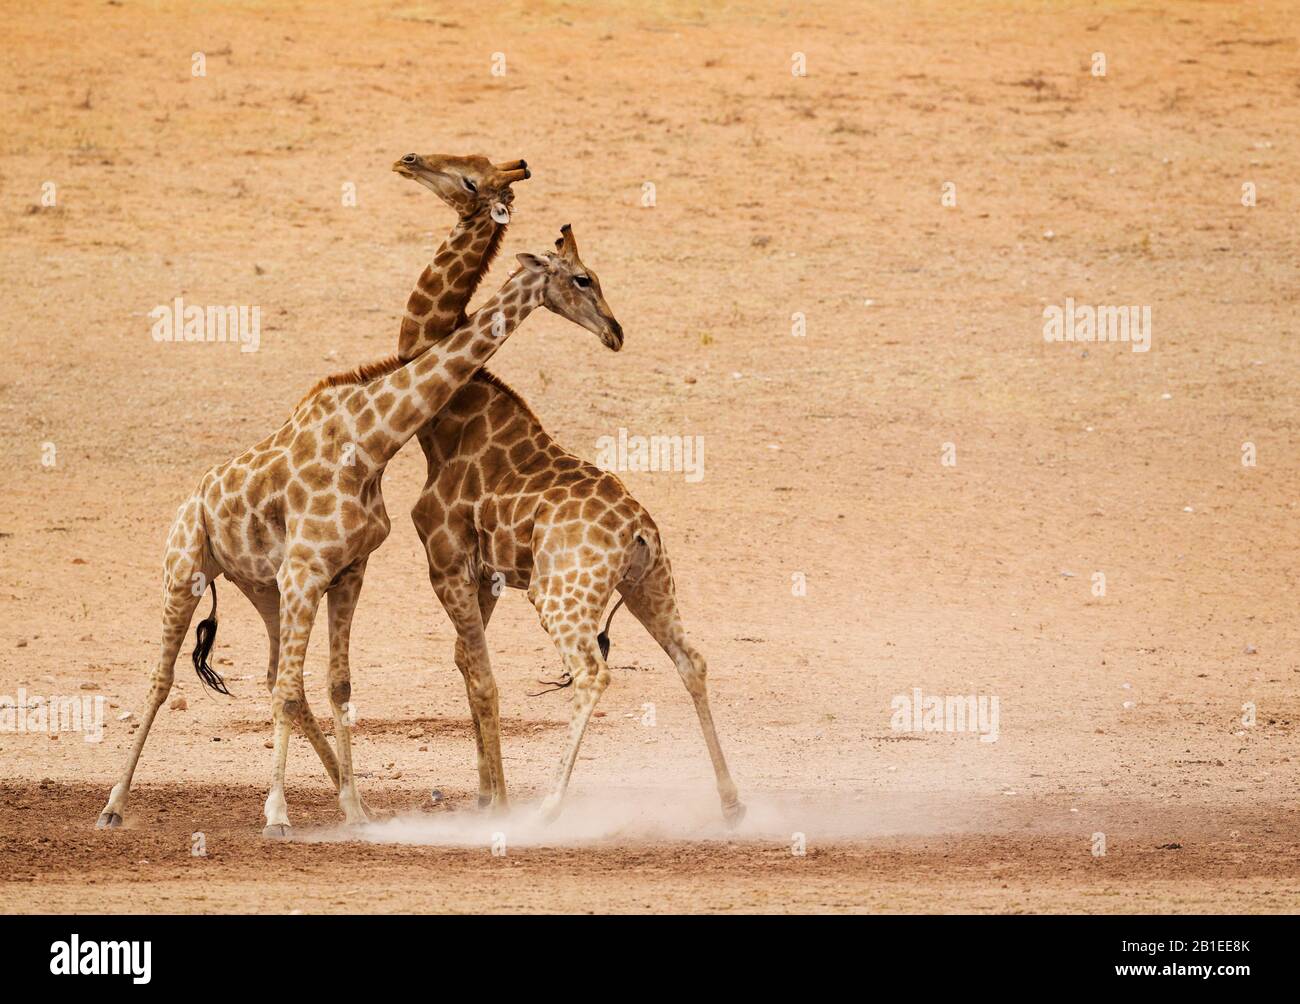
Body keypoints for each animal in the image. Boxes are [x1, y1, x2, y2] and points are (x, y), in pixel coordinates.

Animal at [95, 223, 623, 838]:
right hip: (185, 571)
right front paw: (277, 815)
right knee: (164, 679)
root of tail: (191, 498)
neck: (371, 441)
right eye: (582, 278)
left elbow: (334, 684)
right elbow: (292, 688)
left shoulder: (344, 570)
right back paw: (113, 804)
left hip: (262, 587)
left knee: (279, 677)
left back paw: (343, 794)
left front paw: (351, 806)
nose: (615, 332)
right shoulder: (306, 571)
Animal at [408, 226, 744, 825]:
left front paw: (495, 804)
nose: (615, 332)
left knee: (593, 673)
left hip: (558, 594)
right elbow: (467, 663)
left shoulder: (445, 561)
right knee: (692, 661)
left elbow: (480, 672)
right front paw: (483, 796)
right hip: (650, 584)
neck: (446, 423)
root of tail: (639, 529)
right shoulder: (484, 574)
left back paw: (548, 807)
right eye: (584, 278)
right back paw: (731, 803)